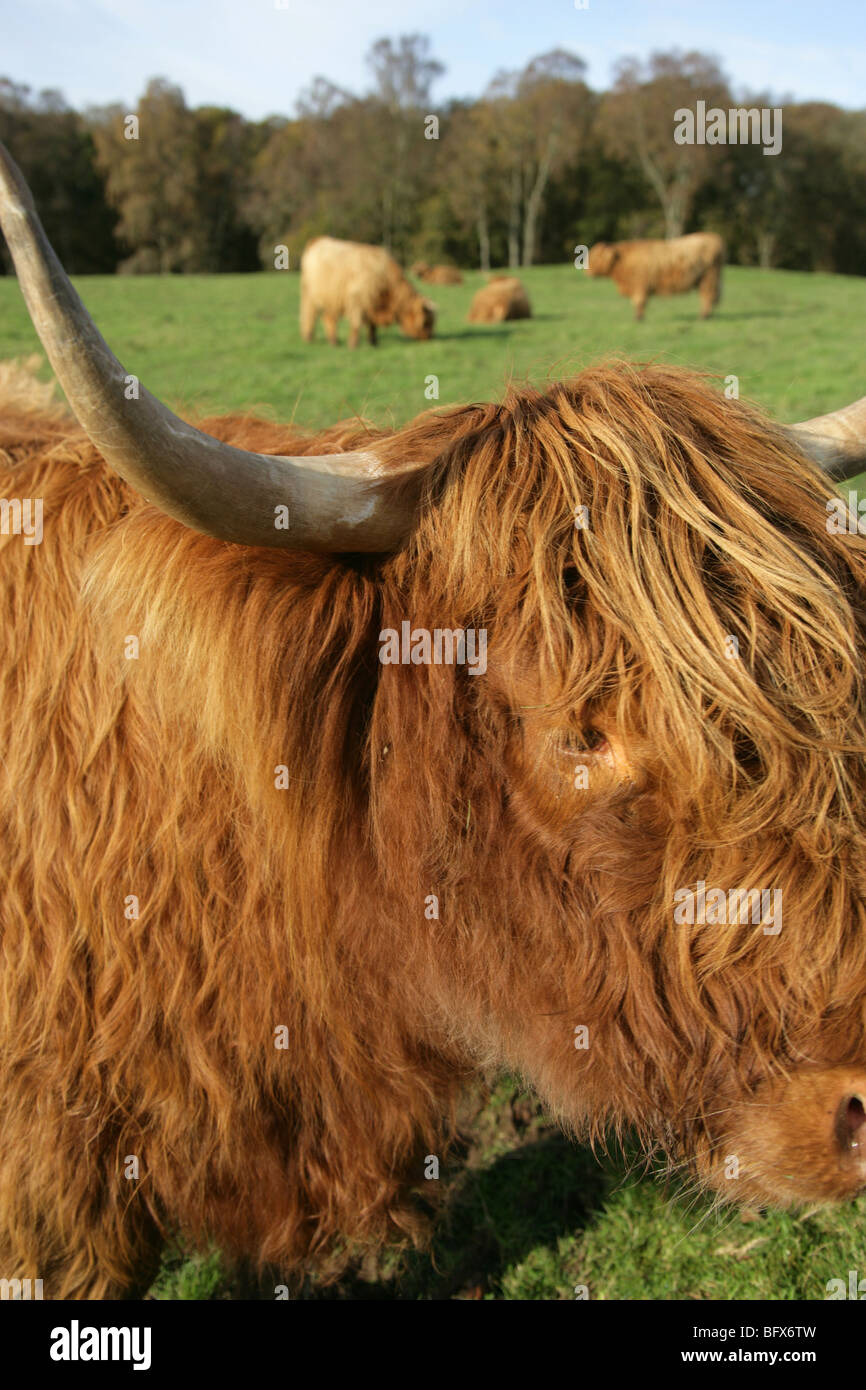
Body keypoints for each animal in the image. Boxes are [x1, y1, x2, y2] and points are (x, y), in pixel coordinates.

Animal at [300, 236, 435, 347]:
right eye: (426, 322)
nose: (428, 337)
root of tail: (318, 240)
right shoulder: (357, 301)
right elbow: (356, 324)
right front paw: (353, 345)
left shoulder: (371, 305)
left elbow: (372, 325)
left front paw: (373, 342)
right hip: (309, 295)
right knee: (309, 316)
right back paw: (309, 337)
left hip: (331, 297)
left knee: (328, 318)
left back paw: (334, 341)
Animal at [587, 233, 725, 320]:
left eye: (596, 256)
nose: (587, 271)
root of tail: (713, 237)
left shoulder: (640, 285)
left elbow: (639, 302)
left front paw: (638, 318)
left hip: (709, 278)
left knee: (707, 296)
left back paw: (703, 316)